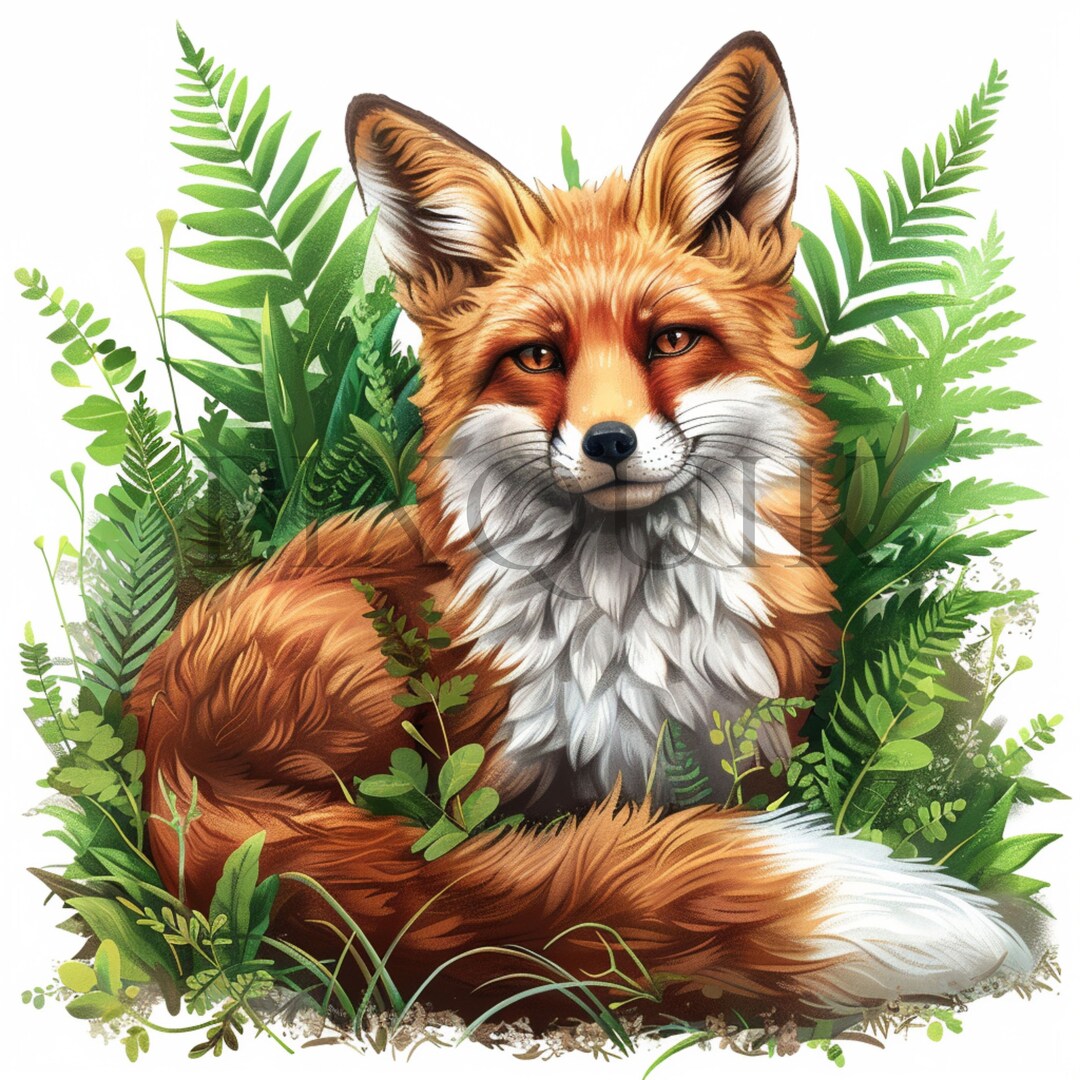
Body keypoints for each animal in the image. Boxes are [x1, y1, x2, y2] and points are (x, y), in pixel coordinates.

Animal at [129, 31, 1035, 1024]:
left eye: (670, 340)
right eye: (538, 356)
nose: (609, 442)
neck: (633, 640)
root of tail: (163, 738)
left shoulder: (744, 758)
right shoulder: (494, 783)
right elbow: (499, 887)